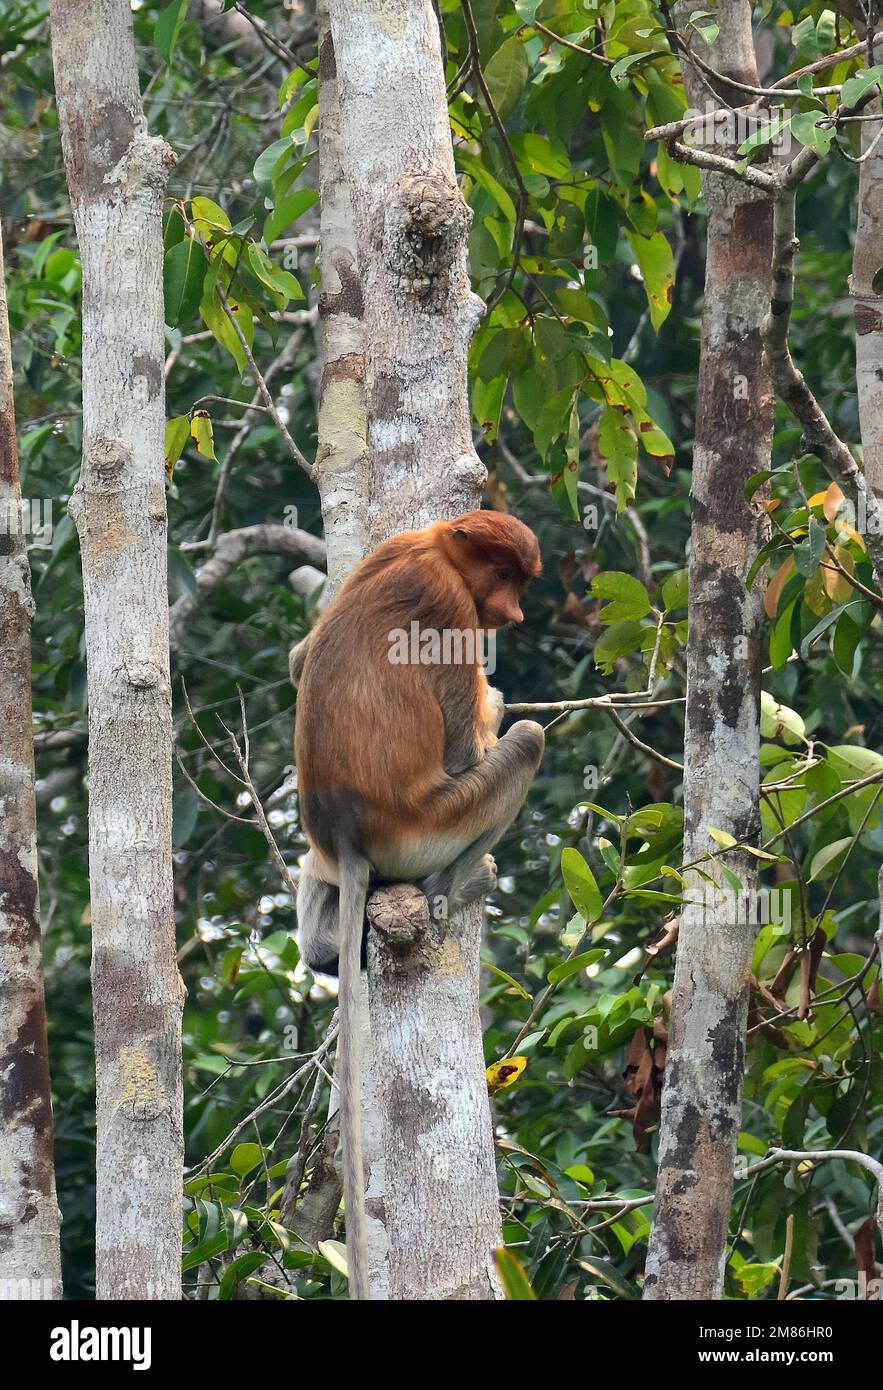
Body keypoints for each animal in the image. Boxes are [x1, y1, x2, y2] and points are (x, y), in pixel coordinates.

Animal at [290, 509, 545, 1299]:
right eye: (504, 577)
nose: (514, 616)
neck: (435, 546)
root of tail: (347, 832)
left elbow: (298, 659)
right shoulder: (448, 606)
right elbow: (471, 744)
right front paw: (496, 698)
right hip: (428, 823)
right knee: (527, 742)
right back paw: (454, 886)